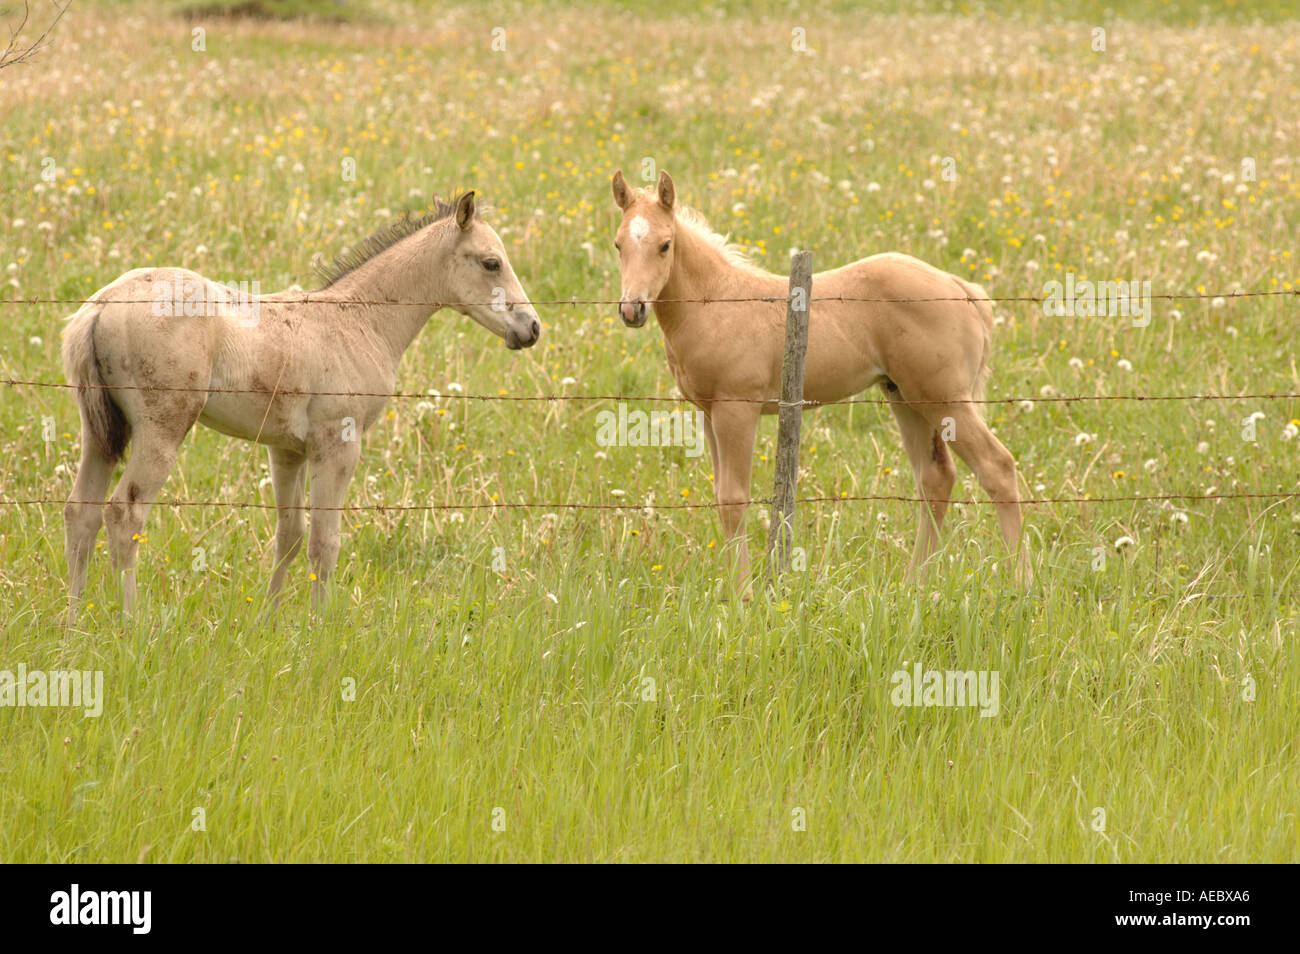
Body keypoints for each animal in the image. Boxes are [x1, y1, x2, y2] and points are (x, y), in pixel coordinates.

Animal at [61, 190, 540, 622]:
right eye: (491, 263)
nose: (532, 327)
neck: (359, 320)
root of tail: (100, 305)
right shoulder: (338, 445)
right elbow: (325, 542)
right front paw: (320, 627)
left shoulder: (286, 451)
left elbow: (289, 535)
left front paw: (268, 622)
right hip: (161, 429)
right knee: (124, 514)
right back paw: (131, 623)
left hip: (99, 433)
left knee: (80, 513)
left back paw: (74, 622)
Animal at [610, 169, 1030, 595]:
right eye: (618, 245)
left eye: (665, 245)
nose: (632, 309)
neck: (717, 303)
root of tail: (963, 289)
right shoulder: (709, 414)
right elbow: (720, 498)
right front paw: (731, 590)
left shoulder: (736, 410)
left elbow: (734, 499)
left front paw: (744, 594)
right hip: (907, 398)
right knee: (936, 478)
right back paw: (914, 585)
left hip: (946, 399)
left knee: (998, 467)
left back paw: (1020, 584)